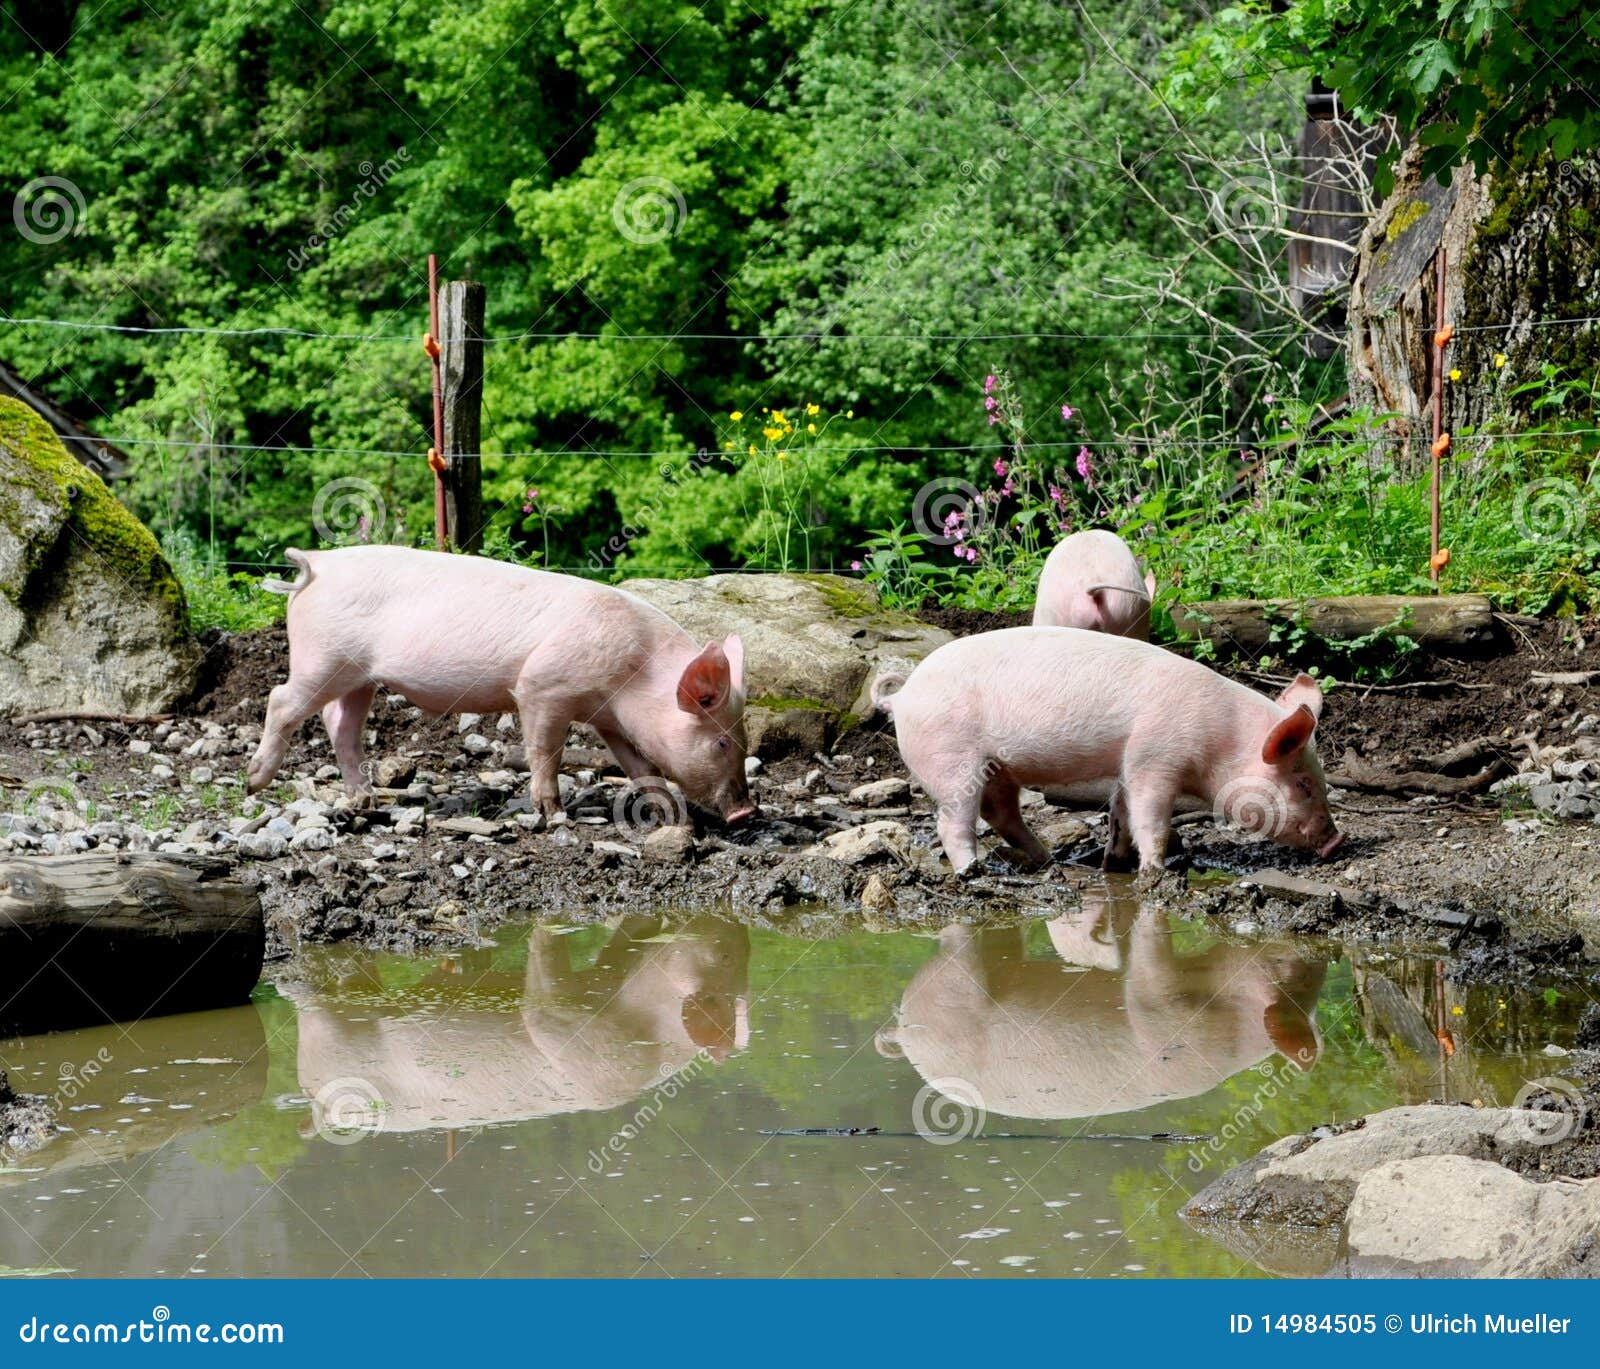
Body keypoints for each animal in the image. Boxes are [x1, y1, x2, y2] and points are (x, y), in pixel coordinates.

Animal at [250, 546, 754, 822]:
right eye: (722, 743)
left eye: (745, 741)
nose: (747, 812)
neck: (635, 674)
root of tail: (318, 564)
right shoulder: (542, 687)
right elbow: (546, 751)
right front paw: (553, 814)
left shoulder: (609, 717)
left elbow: (639, 765)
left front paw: (668, 812)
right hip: (322, 658)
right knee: (281, 700)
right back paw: (254, 782)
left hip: (358, 676)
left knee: (340, 723)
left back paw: (364, 802)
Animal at [873, 626, 1340, 873]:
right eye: (1302, 783)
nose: (1337, 841)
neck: (1221, 741)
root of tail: (901, 697)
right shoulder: (1154, 757)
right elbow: (1151, 817)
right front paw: (1155, 871)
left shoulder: (1128, 763)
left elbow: (1121, 811)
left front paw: (1113, 863)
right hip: (952, 761)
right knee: (953, 821)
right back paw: (974, 872)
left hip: (998, 769)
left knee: (1000, 813)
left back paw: (1049, 861)